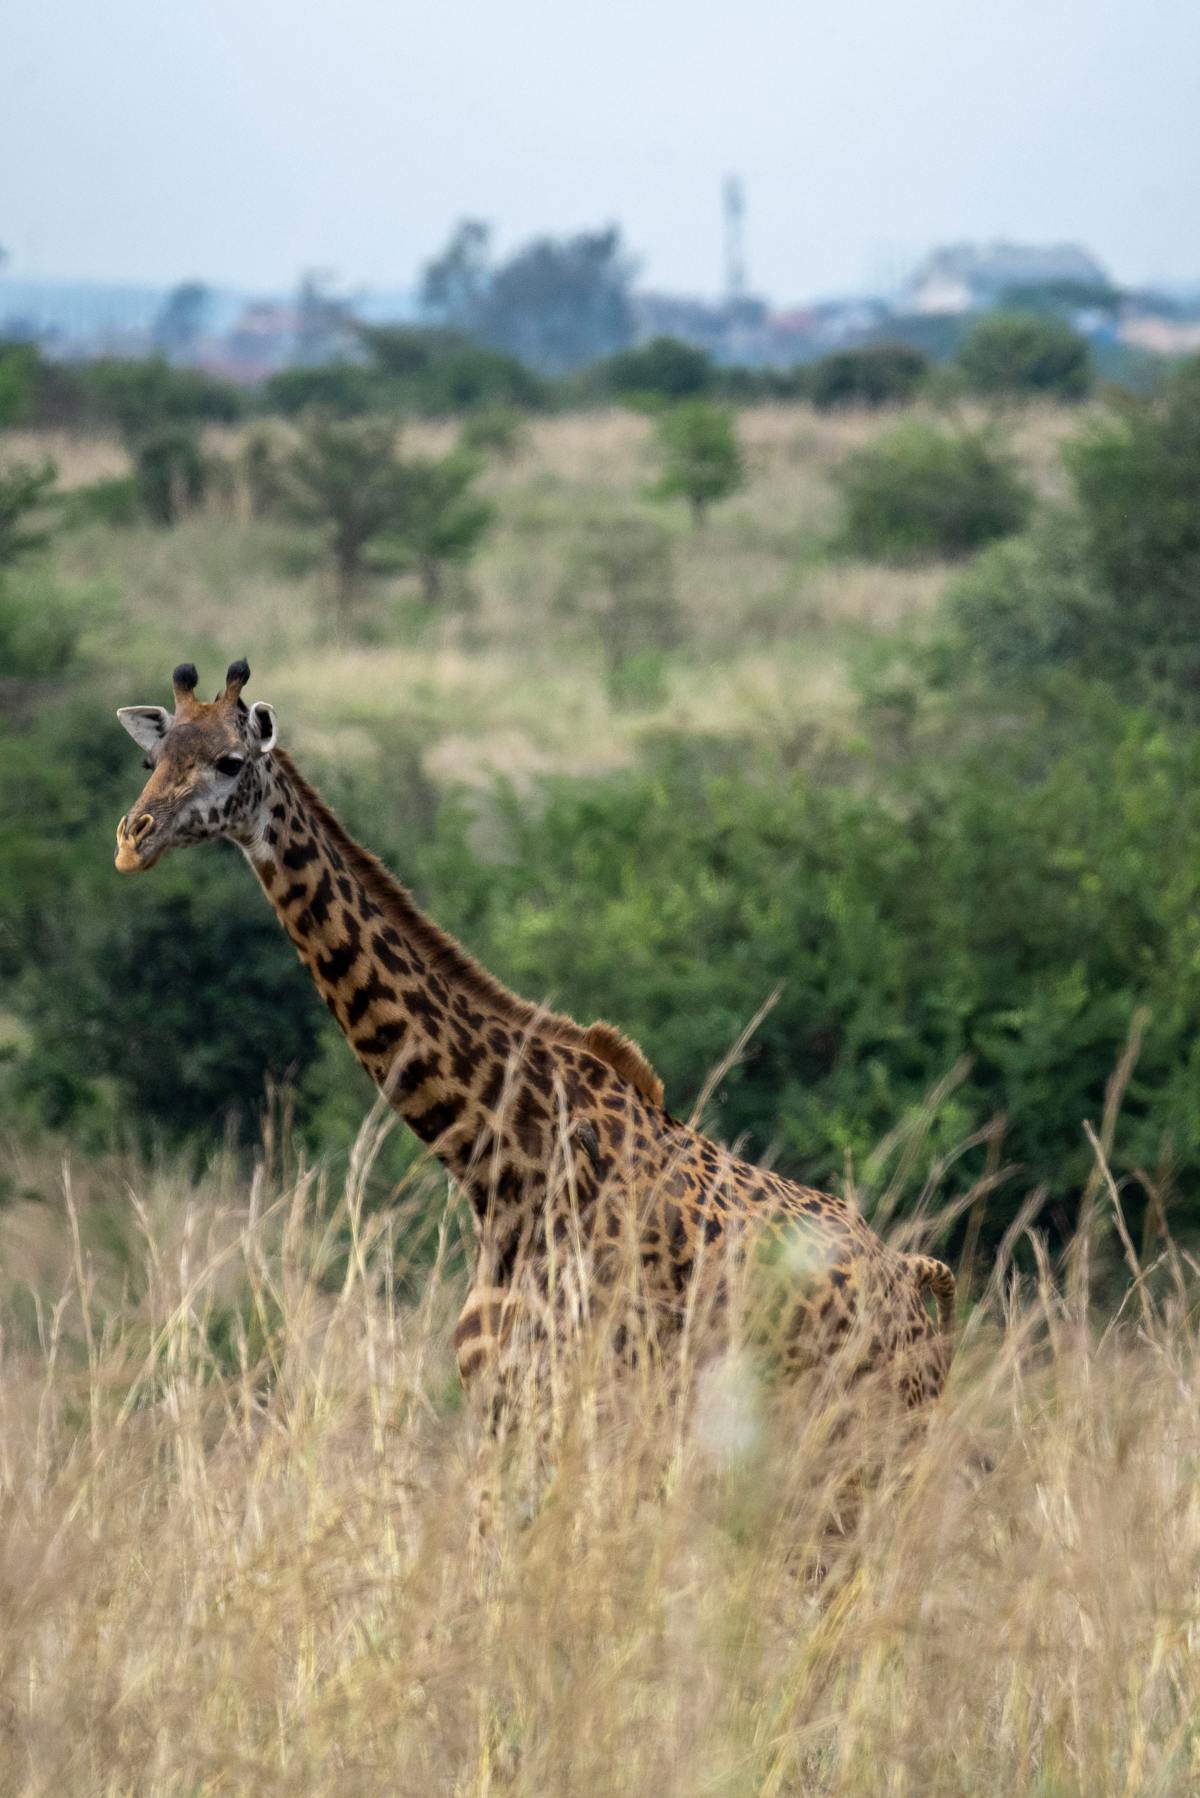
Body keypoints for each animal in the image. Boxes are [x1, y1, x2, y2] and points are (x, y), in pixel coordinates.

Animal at [114, 659, 956, 1416]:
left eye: (229, 761)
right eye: (153, 761)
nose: (132, 837)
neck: (499, 1166)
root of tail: (915, 1275)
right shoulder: (505, 1407)